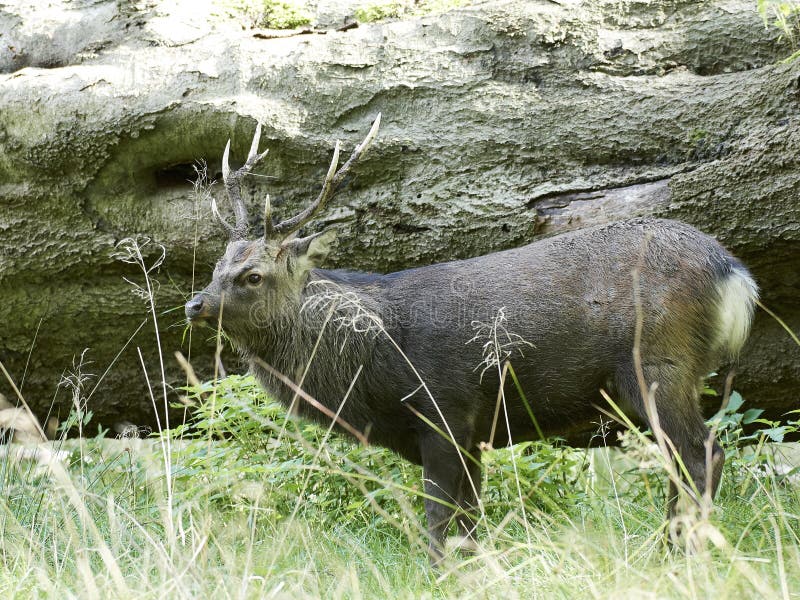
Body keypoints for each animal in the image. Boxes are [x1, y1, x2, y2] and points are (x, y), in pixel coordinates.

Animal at [185, 115, 758, 563]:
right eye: (215, 268)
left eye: (253, 276)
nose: (195, 304)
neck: (372, 366)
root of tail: (734, 275)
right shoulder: (477, 433)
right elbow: (469, 519)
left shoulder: (445, 408)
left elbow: (439, 517)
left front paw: (437, 574)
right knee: (682, 460)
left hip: (659, 363)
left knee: (701, 454)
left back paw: (683, 552)